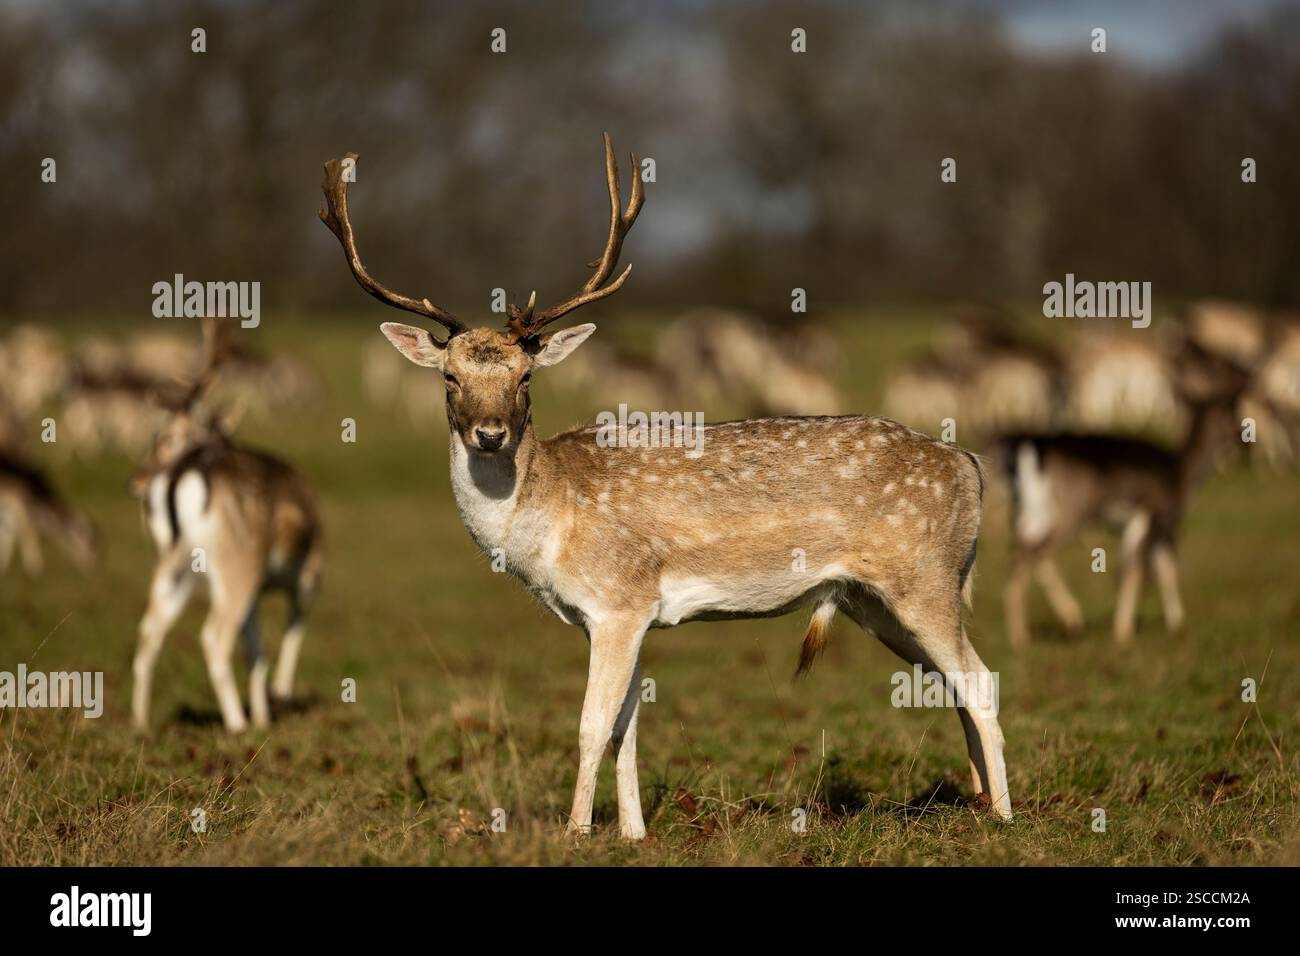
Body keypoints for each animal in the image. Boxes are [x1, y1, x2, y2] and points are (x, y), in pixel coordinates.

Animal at [129, 318, 323, 733]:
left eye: (167, 436)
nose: (136, 480)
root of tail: (181, 475)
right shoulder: (311, 571)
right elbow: (292, 630)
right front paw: (277, 700)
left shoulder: (257, 591)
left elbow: (256, 649)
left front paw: (265, 715)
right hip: (237, 564)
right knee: (213, 637)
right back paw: (236, 724)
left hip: (173, 567)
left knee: (149, 631)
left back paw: (140, 724)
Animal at [319, 133, 1011, 838]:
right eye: (449, 377)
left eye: (525, 378)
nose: (490, 434)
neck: (550, 520)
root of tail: (970, 465)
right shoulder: (616, 616)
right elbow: (626, 730)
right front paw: (632, 832)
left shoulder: (619, 602)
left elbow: (592, 725)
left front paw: (576, 832)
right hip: (873, 601)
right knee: (949, 684)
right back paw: (978, 801)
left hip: (923, 577)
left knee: (982, 680)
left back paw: (1005, 817)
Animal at [996, 342, 1254, 648]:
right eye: (1234, 411)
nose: (1246, 443)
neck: (1182, 473)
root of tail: (1031, 452)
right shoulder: (1158, 513)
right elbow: (1139, 569)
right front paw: (1124, 633)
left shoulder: (1147, 525)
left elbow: (1159, 569)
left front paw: (1174, 624)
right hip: (1071, 509)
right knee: (1038, 554)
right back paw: (1071, 619)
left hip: (1025, 514)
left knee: (1017, 557)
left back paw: (1019, 636)